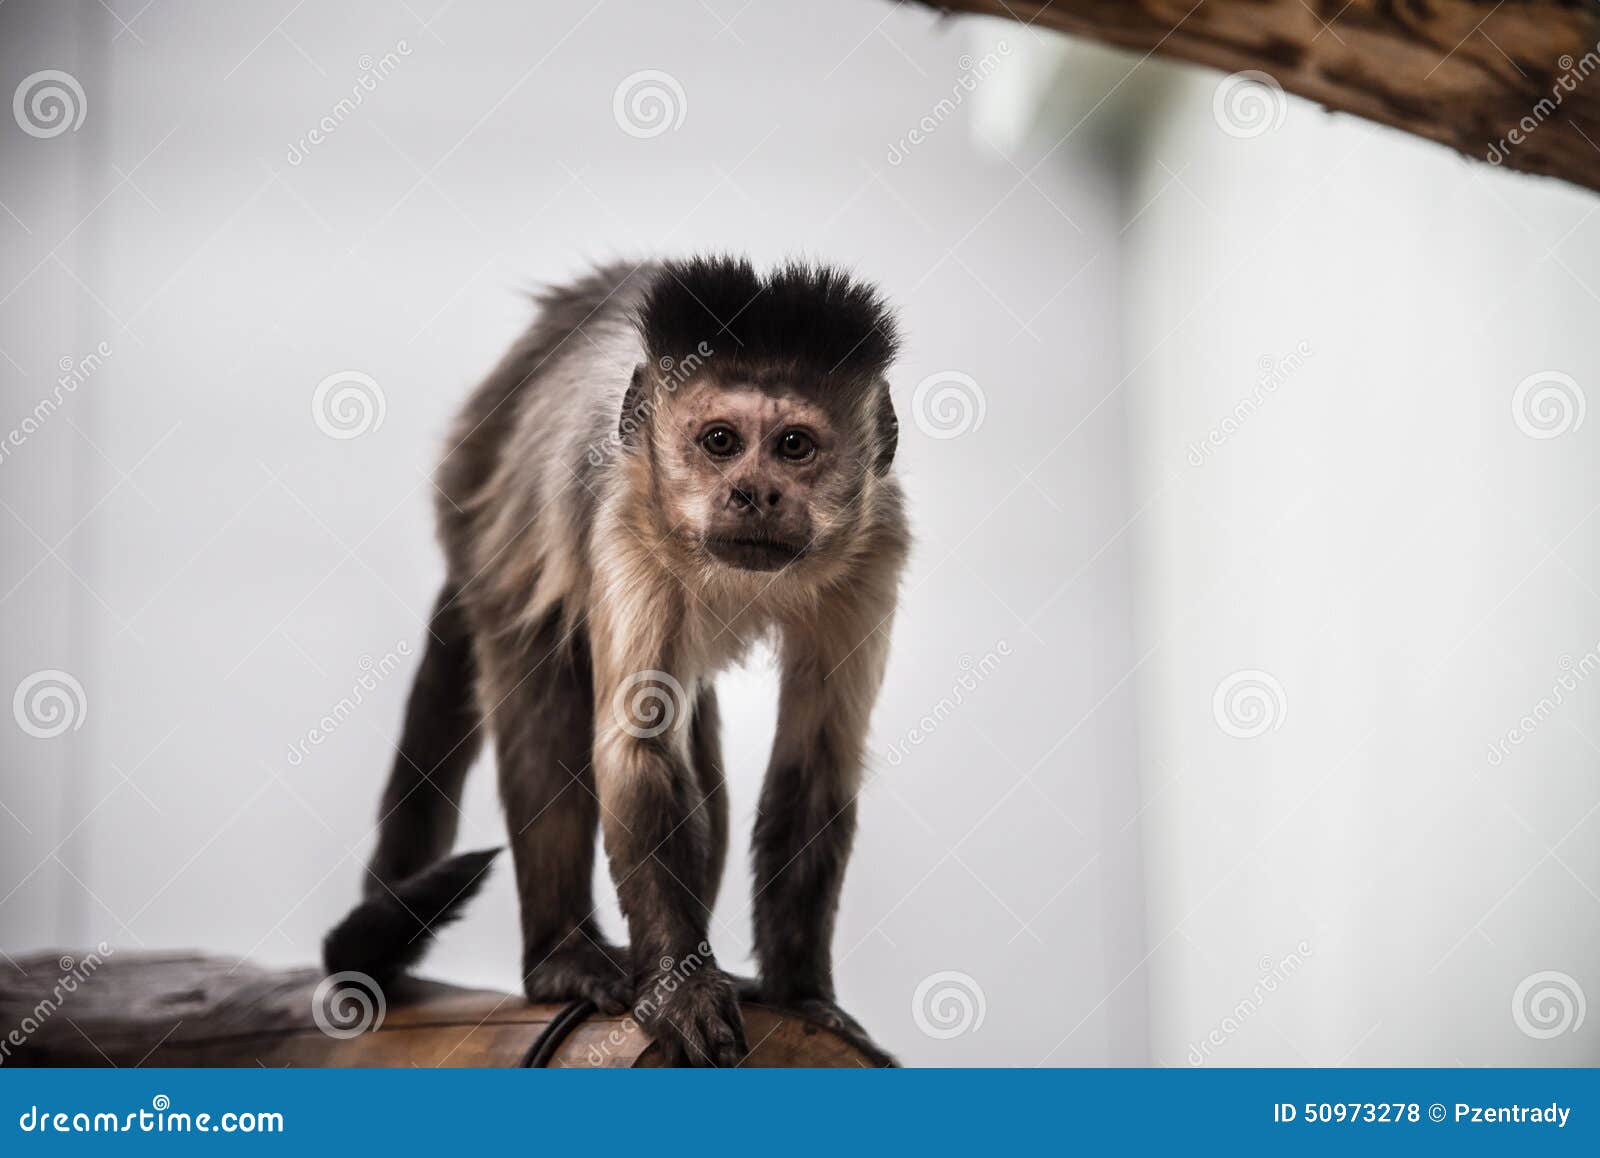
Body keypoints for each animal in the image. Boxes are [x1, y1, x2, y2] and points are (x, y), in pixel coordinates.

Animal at [322, 256, 908, 1067]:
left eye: (794, 446)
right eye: (720, 441)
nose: (753, 492)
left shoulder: (874, 548)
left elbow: (815, 766)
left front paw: (803, 996)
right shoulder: (629, 524)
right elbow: (638, 752)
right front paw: (682, 989)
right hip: (493, 542)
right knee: (544, 700)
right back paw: (562, 958)